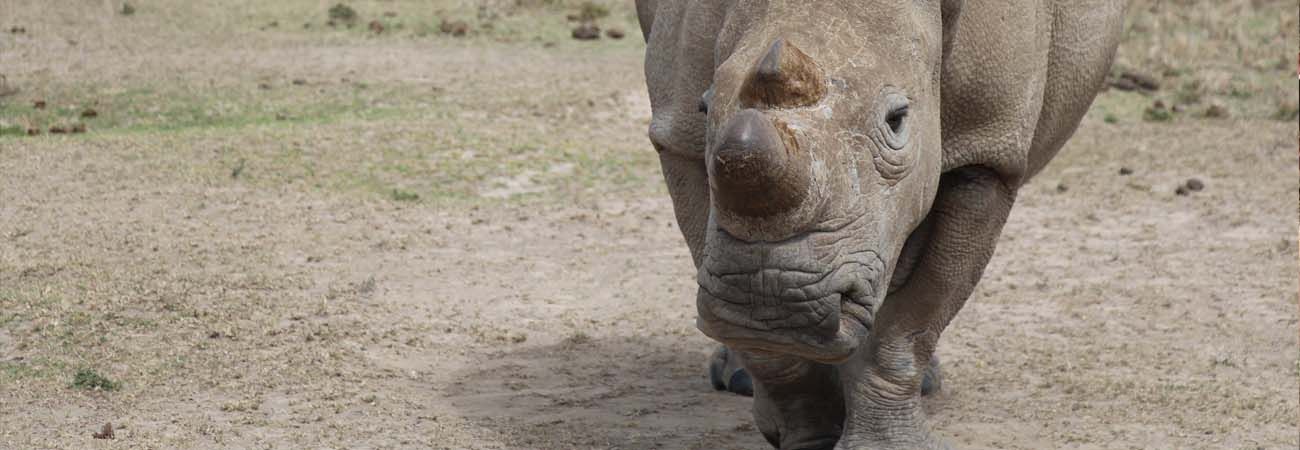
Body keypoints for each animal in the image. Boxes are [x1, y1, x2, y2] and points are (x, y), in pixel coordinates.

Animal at [634, 1, 1127, 448]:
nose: (774, 300)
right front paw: (811, 433)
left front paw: (885, 443)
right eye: (704, 108)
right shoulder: (680, 139)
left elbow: (912, 323)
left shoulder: (985, 149)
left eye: (897, 120)